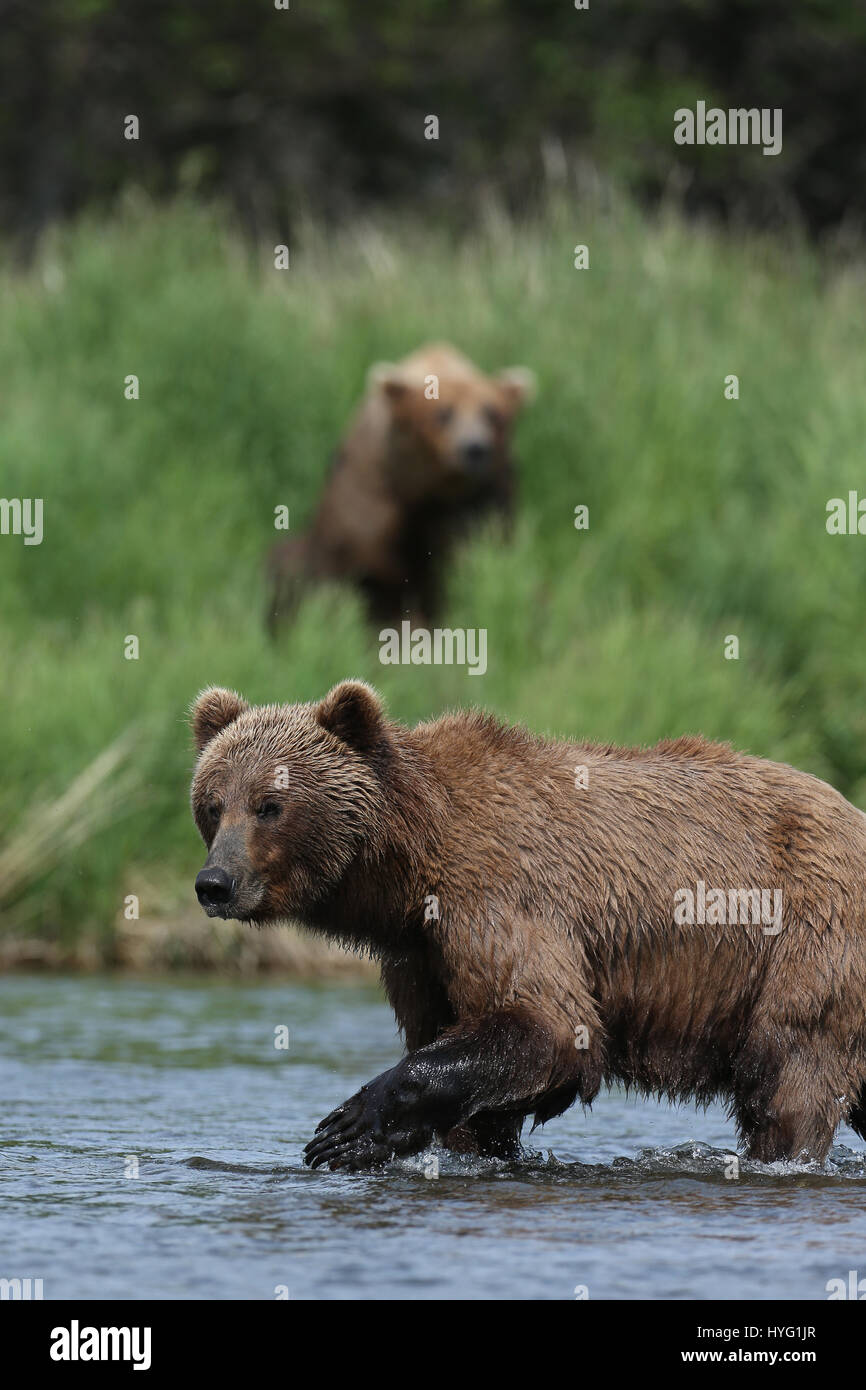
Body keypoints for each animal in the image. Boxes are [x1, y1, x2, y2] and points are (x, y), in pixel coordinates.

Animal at [189, 680, 866, 1171]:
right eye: (213, 805)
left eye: (270, 805)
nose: (215, 883)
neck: (410, 863)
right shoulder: (420, 951)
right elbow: (466, 1058)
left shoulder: (497, 894)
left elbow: (547, 1022)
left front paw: (352, 1124)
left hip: (809, 940)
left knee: (786, 1074)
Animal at [266, 344, 534, 631]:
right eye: (443, 413)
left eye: (492, 413)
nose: (474, 448)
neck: (426, 488)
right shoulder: (371, 492)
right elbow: (370, 569)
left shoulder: (483, 496)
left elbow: (477, 553)